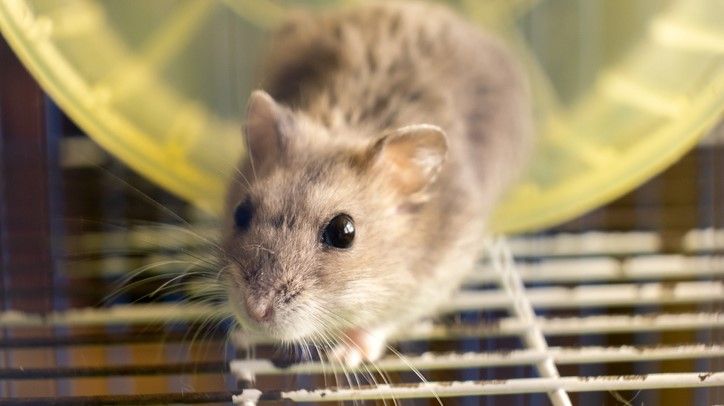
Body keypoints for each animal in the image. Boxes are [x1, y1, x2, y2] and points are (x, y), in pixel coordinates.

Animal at [221, 1, 532, 366]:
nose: (255, 311)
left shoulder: (437, 274)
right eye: (241, 213)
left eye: (343, 232)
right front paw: (241, 335)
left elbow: (382, 321)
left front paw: (343, 357)